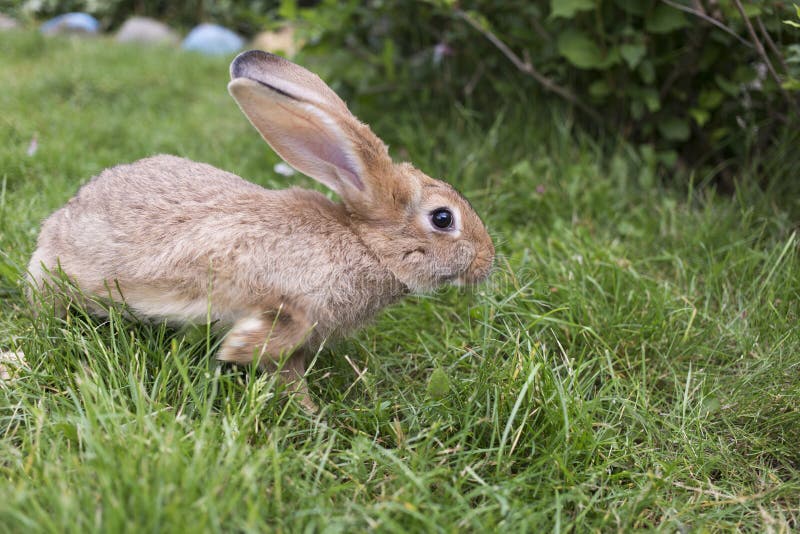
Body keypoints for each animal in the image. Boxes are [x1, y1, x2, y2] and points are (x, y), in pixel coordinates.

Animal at [27, 50, 495, 410]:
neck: (365, 245)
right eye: (442, 219)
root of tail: (54, 226)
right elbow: (278, 337)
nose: (488, 261)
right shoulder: (261, 281)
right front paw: (244, 354)